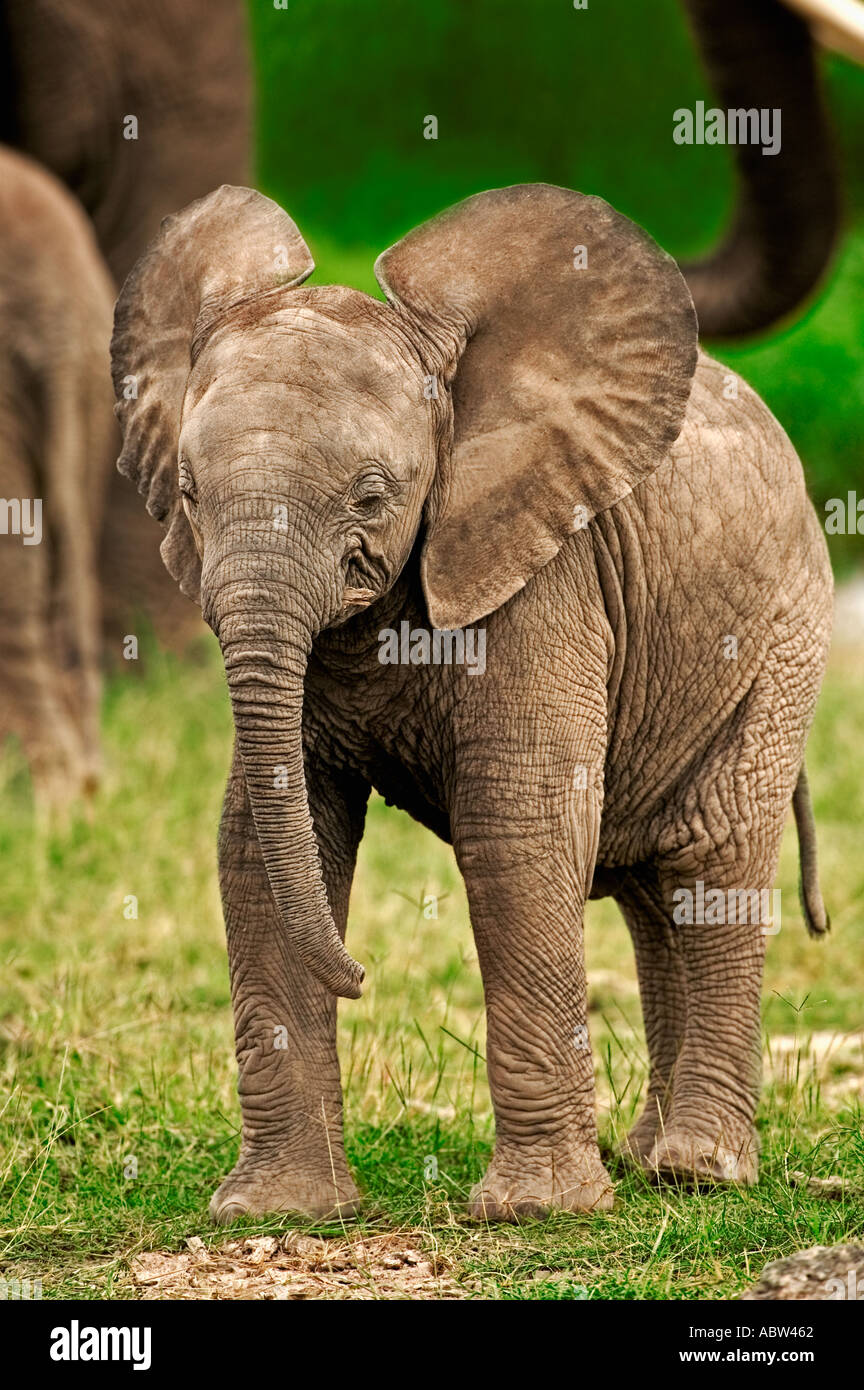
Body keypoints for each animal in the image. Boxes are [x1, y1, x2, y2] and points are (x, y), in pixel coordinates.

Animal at [111, 182, 832, 1222]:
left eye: (373, 497)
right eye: (190, 494)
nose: (362, 975)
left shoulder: (544, 572)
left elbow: (515, 829)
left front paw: (538, 1212)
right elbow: (260, 841)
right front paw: (282, 1212)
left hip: (782, 635)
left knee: (713, 853)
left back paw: (699, 1171)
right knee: (651, 888)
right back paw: (648, 1161)